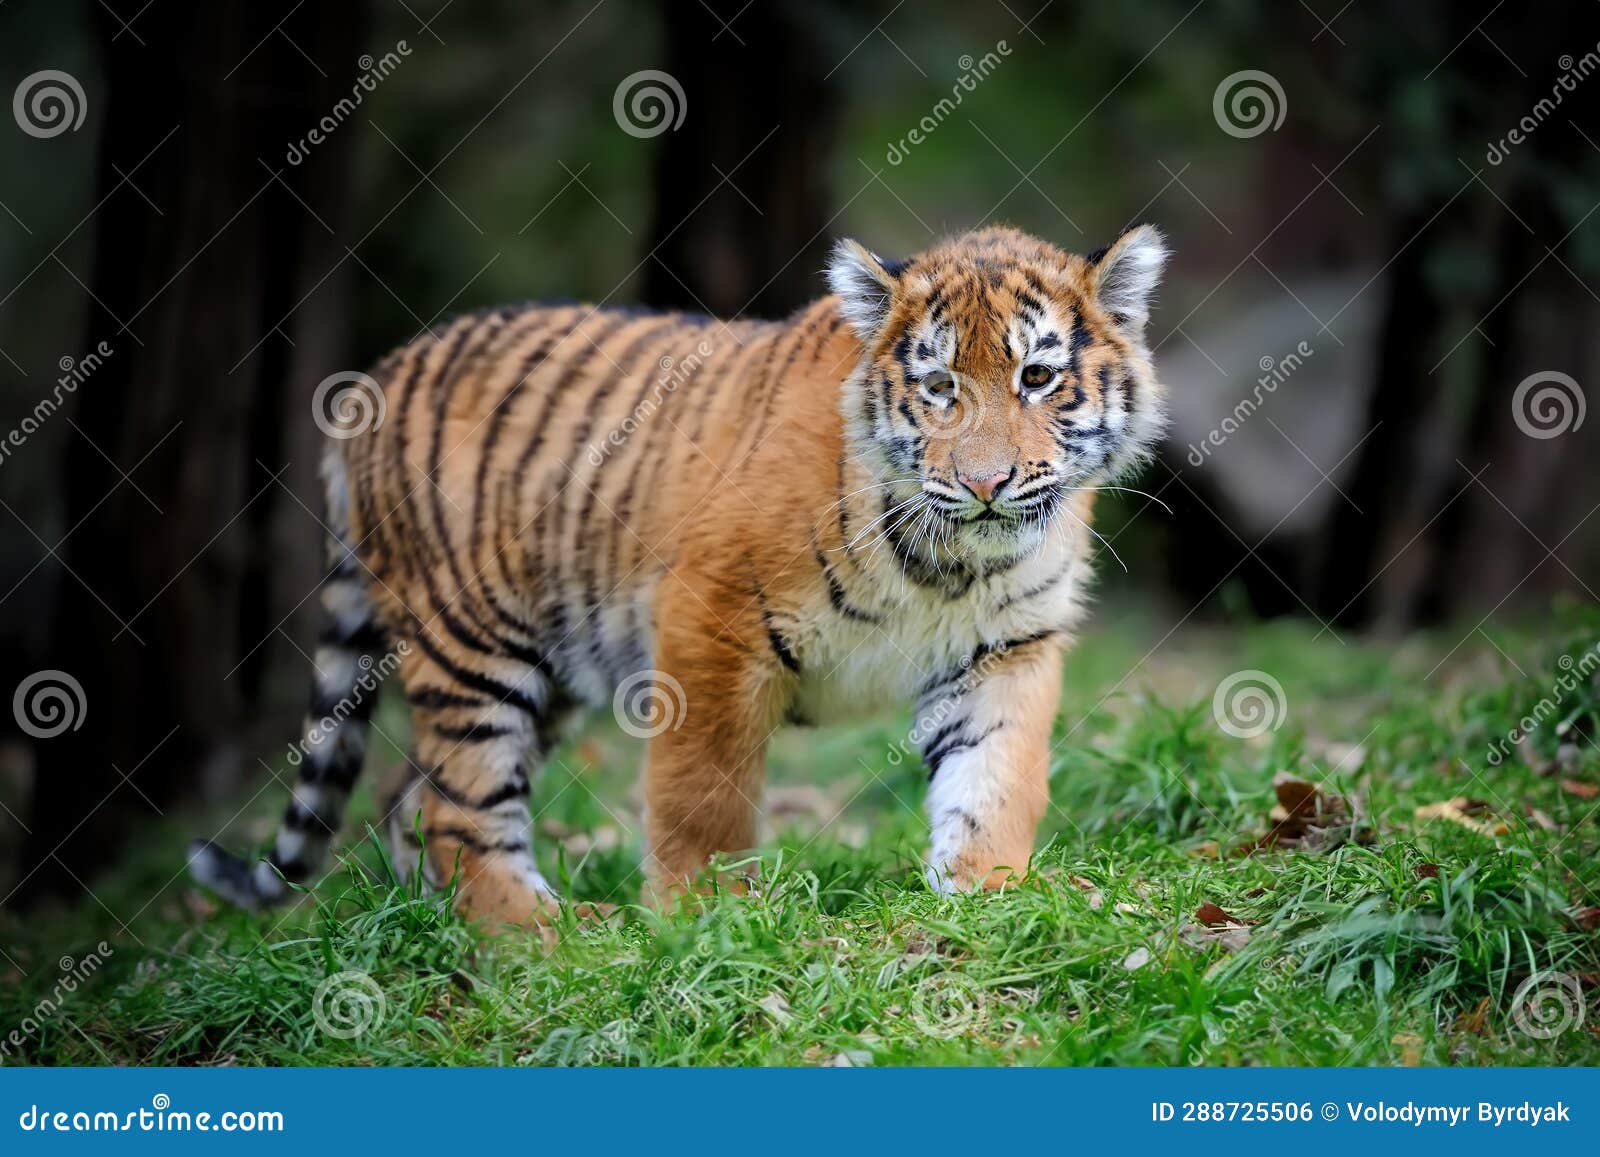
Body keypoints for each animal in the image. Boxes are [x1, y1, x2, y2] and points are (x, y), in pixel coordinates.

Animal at [187, 223, 1169, 927]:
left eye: (1036, 377)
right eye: (938, 390)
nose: (984, 483)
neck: (952, 564)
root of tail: (376, 377)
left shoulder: (1008, 649)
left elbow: (994, 776)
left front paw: (985, 891)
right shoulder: (713, 616)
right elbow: (702, 790)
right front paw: (704, 916)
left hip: (548, 673)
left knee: (406, 800)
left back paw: (437, 925)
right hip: (472, 646)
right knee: (460, 810)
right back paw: (540, 937)